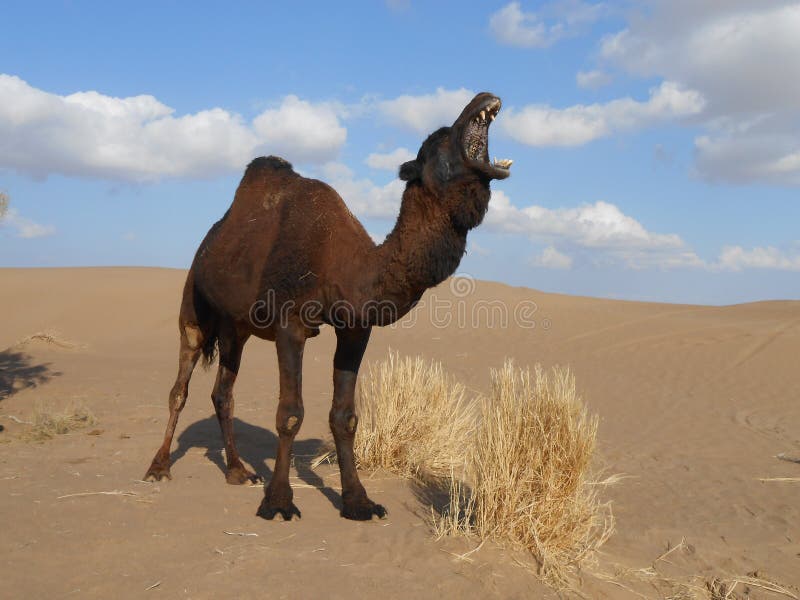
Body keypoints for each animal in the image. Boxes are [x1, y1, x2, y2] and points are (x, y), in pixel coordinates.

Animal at [144, 92, 512, 520]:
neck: (350, 266)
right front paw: (278, 501)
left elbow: (345, 417)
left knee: (223, 393)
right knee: (180, 387)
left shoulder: (355, 328)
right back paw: (158, 467)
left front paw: (358, 501)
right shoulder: (290, 324)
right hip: (195, 307)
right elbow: (289, 413)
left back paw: (238, 471)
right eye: (438, 139)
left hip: (236, 328)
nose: (482, 98)